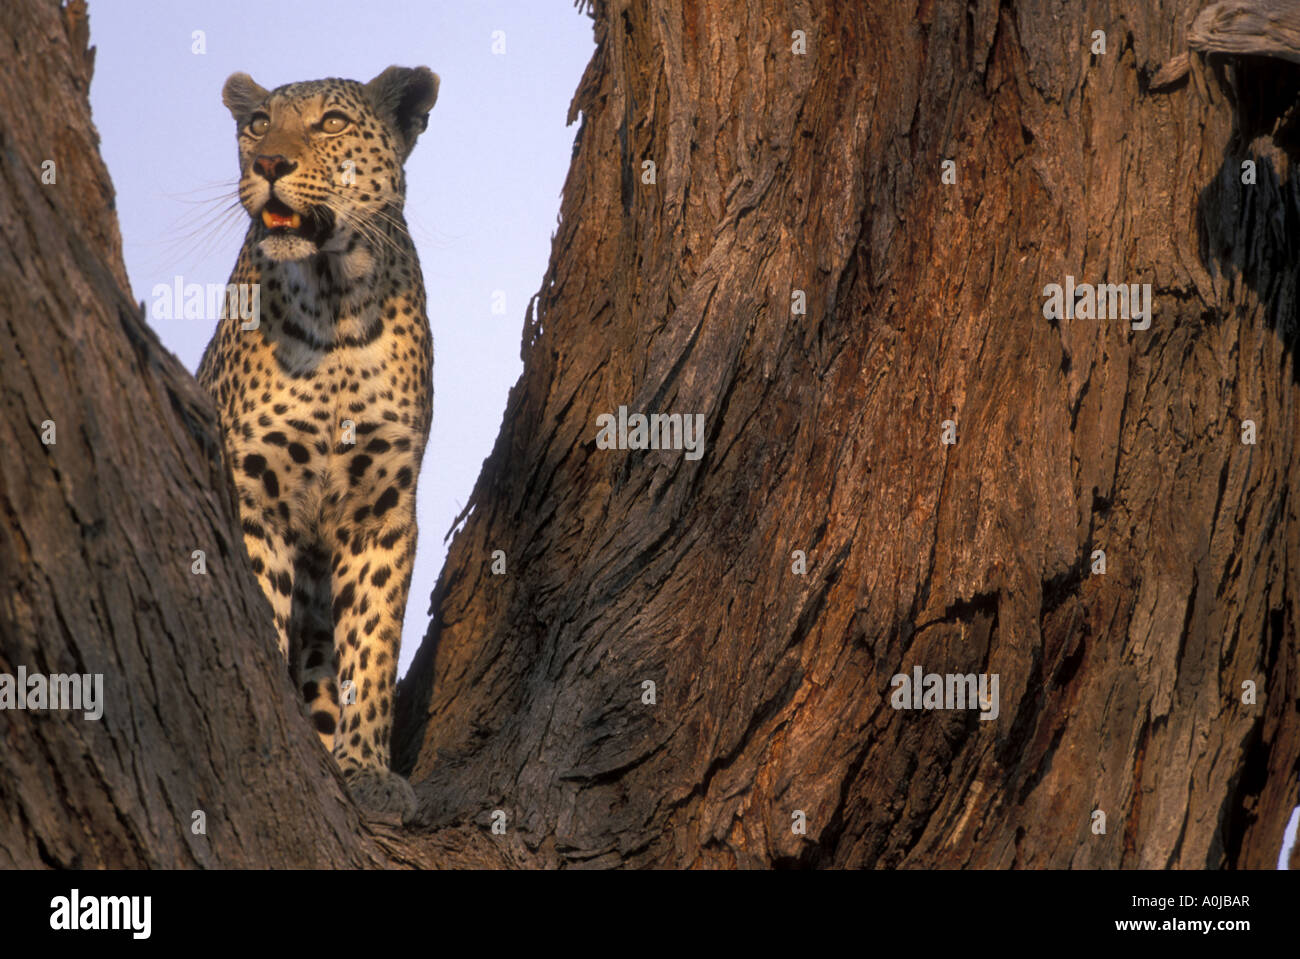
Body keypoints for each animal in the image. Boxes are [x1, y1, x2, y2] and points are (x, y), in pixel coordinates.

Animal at [196, 66, 439, 823]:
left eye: (331, 122)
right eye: (257, 125)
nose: (269, 164)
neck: (334, 303)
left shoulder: (382, 509)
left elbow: (373, 646)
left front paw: (366, 769)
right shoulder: (254, 494)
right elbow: (261, 606)